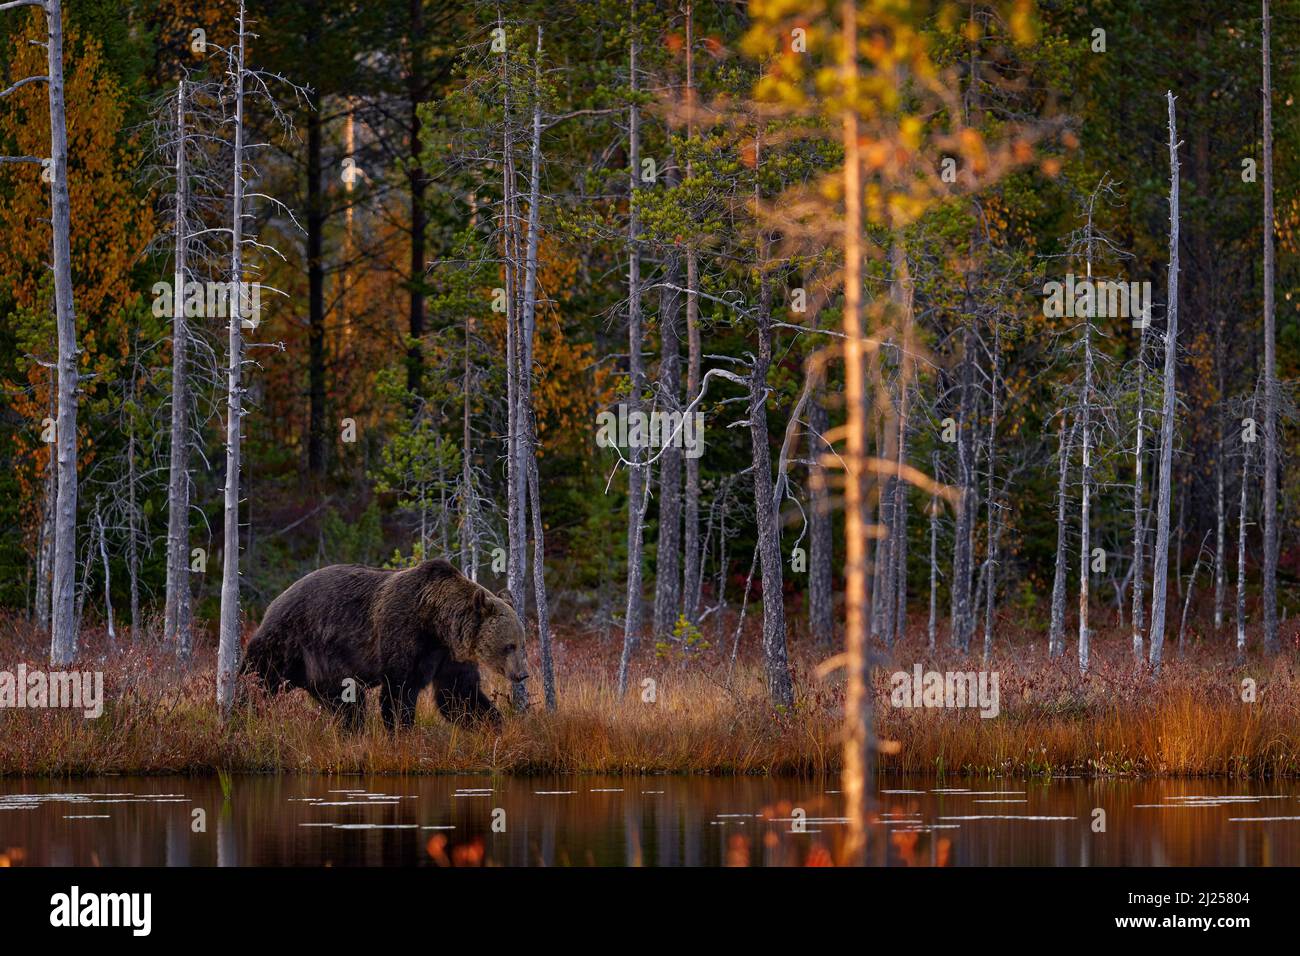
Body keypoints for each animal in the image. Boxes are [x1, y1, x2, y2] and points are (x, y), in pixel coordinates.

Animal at [240, 558, 528, 730]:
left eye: (522, 643)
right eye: (509, 645)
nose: (522, 674)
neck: (437, 624)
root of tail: (274, 601)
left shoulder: (449, 655)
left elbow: (458, 694)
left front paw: (494, 725)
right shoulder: (403, 634)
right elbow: (398, 692)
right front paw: (401, 732)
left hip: (321, 671)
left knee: (344, 705)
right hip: (290, 641)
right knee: (259, 676)